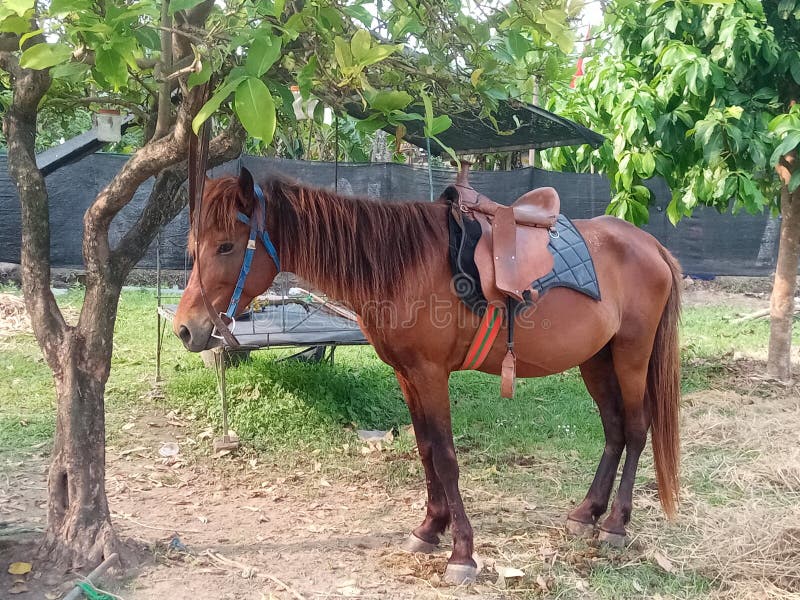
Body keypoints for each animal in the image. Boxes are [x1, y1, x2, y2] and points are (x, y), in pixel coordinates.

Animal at [174, 168, 681, 585]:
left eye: (226, 245)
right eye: (194, 248)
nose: (185, 329)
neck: (404, 265)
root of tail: (650, 245)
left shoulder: (432, 374)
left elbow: (447, 457)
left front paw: (462, 553)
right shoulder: (407, 375)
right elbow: (424, 451)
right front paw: (429, 529)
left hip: (631, 357)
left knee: (636, 430)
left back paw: (615, 524)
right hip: (596, 360)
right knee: (614, 431)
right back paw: (587, 513)